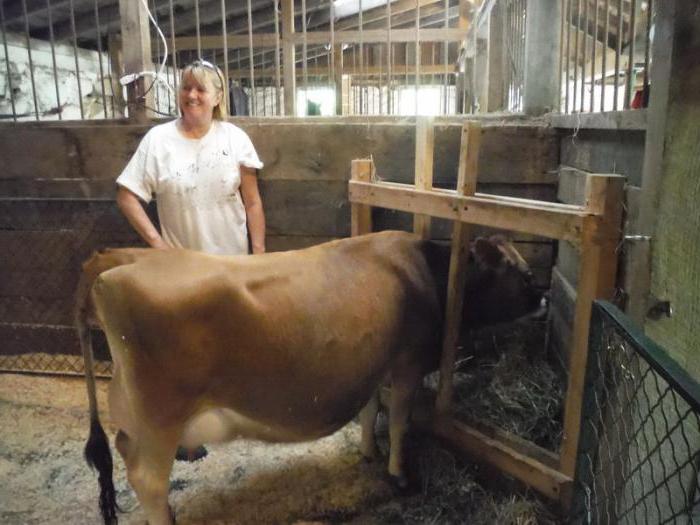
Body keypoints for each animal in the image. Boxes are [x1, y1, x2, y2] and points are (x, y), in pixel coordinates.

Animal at [79, 231, 544, 520]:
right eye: (524, 273)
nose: (543, 299)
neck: (428, 273)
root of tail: (109, 268)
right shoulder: (408, 363)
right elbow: (398, 421)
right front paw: (398, 474)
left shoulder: (373, 361)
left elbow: (370, 409)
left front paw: (368, 452)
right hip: (162, 416)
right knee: (147, 479)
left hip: (137, 416)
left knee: (125, 451)